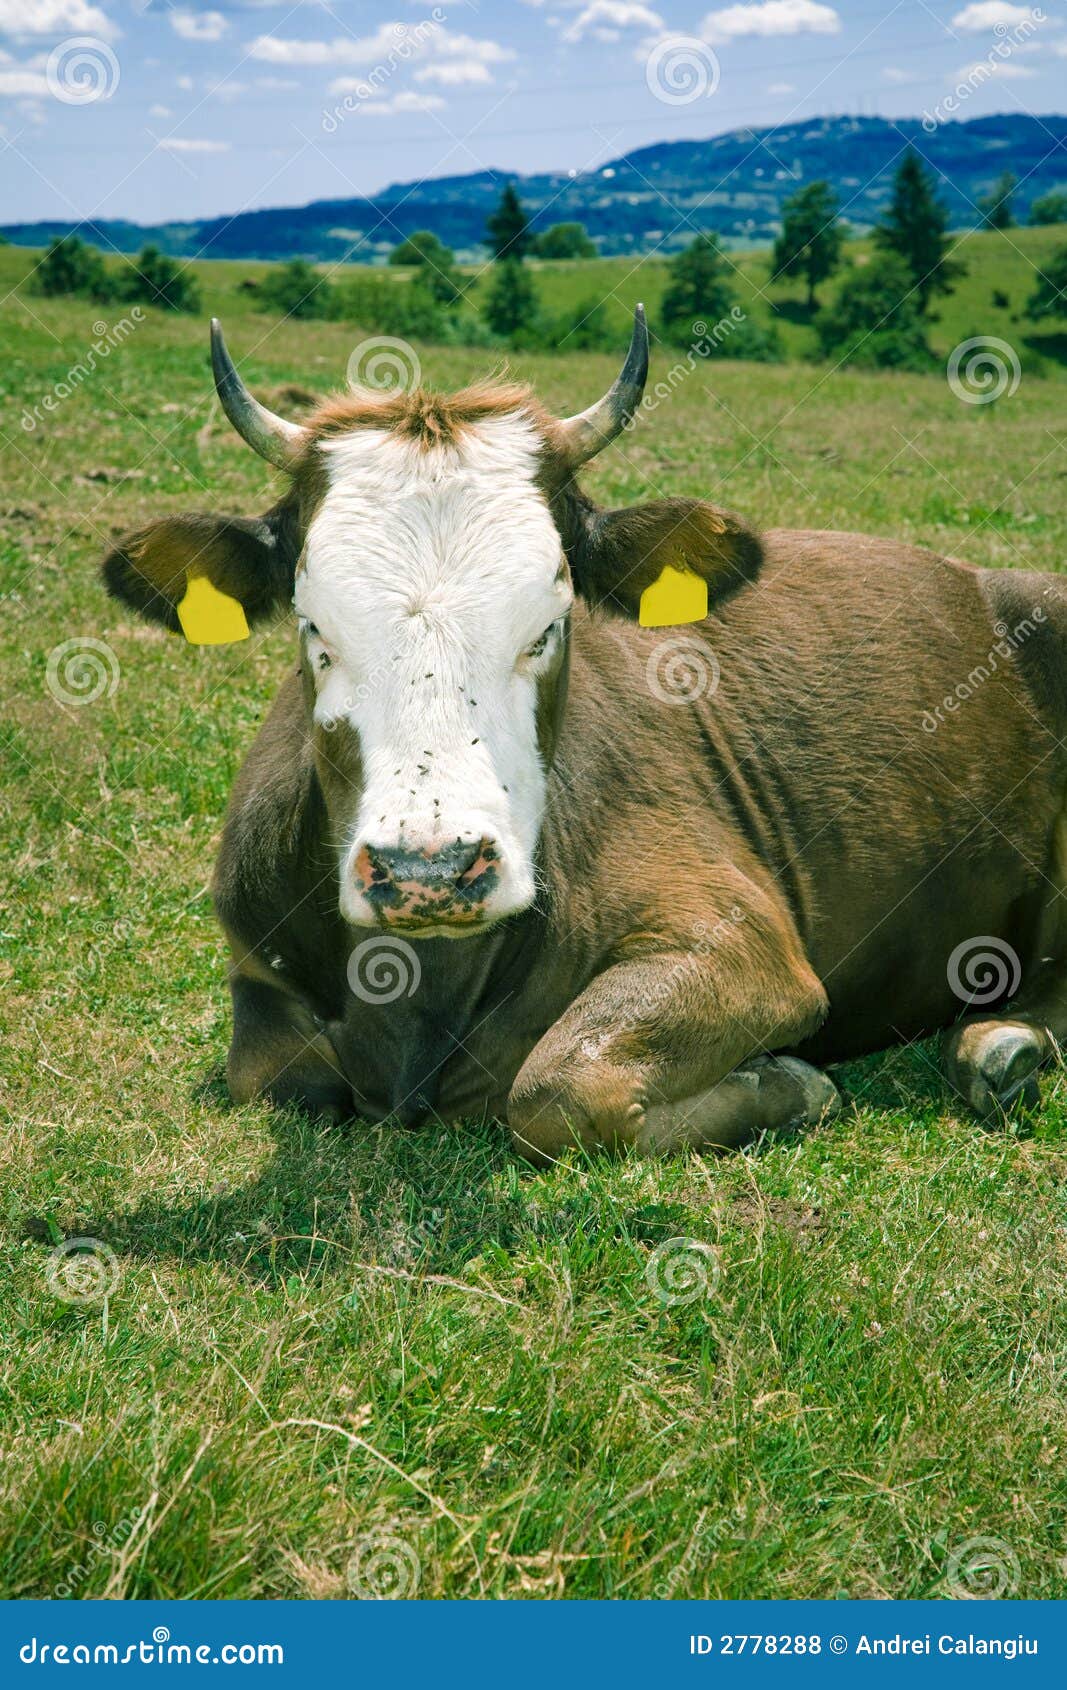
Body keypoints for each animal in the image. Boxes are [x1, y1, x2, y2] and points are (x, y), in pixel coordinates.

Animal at [102, 310, 1067, 1164]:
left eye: (550, 620)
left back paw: (1001, 1047)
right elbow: (271, 1077)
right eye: (314, 625)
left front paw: (792, 1085)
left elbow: (559, 1087)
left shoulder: (736, 936)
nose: (429, 871)